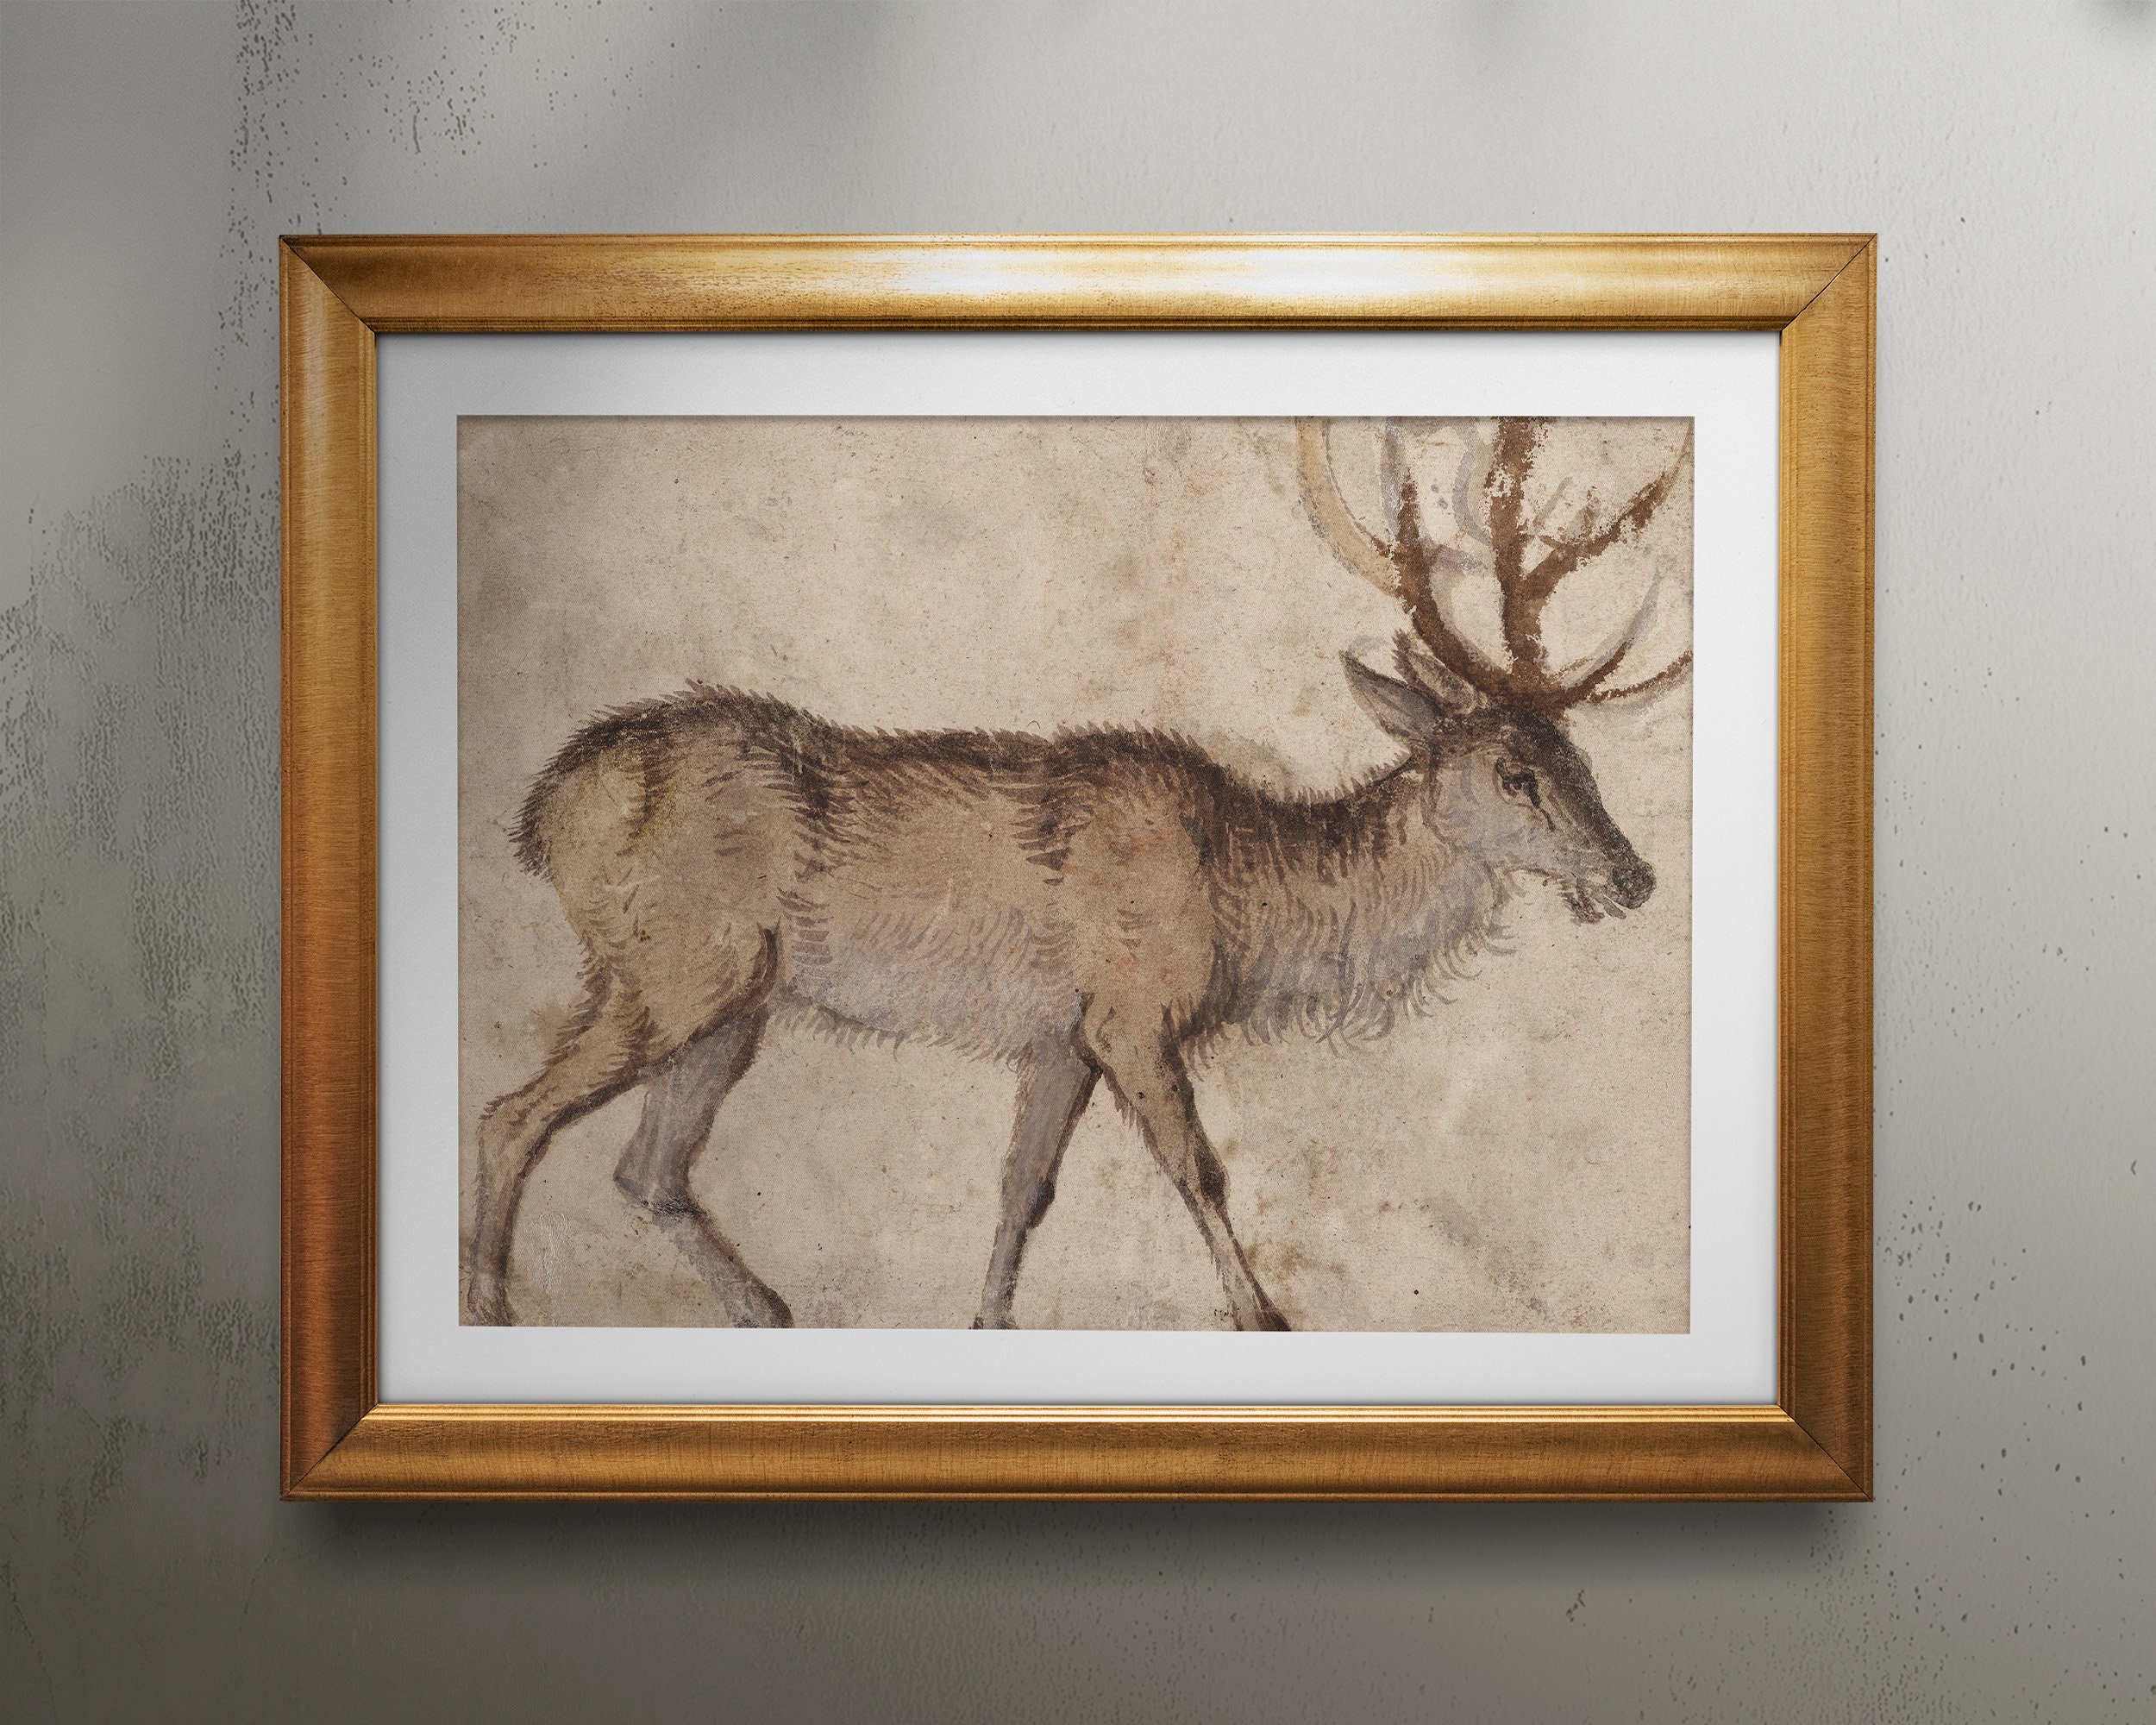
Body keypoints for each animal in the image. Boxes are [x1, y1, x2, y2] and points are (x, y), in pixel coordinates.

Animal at [465, 417, 1692, 1331]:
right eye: (1515, 771)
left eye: (1582, 759)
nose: (1633, 875)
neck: (1248, 907)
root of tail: (545, 808)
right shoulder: (1131, 1007)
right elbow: (1201, 1169)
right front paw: (1262, 1313)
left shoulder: (1058, 1037)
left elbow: (1024, 1190)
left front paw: (987, 1322)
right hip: (670, 963)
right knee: (513, 1113)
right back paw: (494, 1305)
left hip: (733, 1000)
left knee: (647, 1170)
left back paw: (769, 1310)